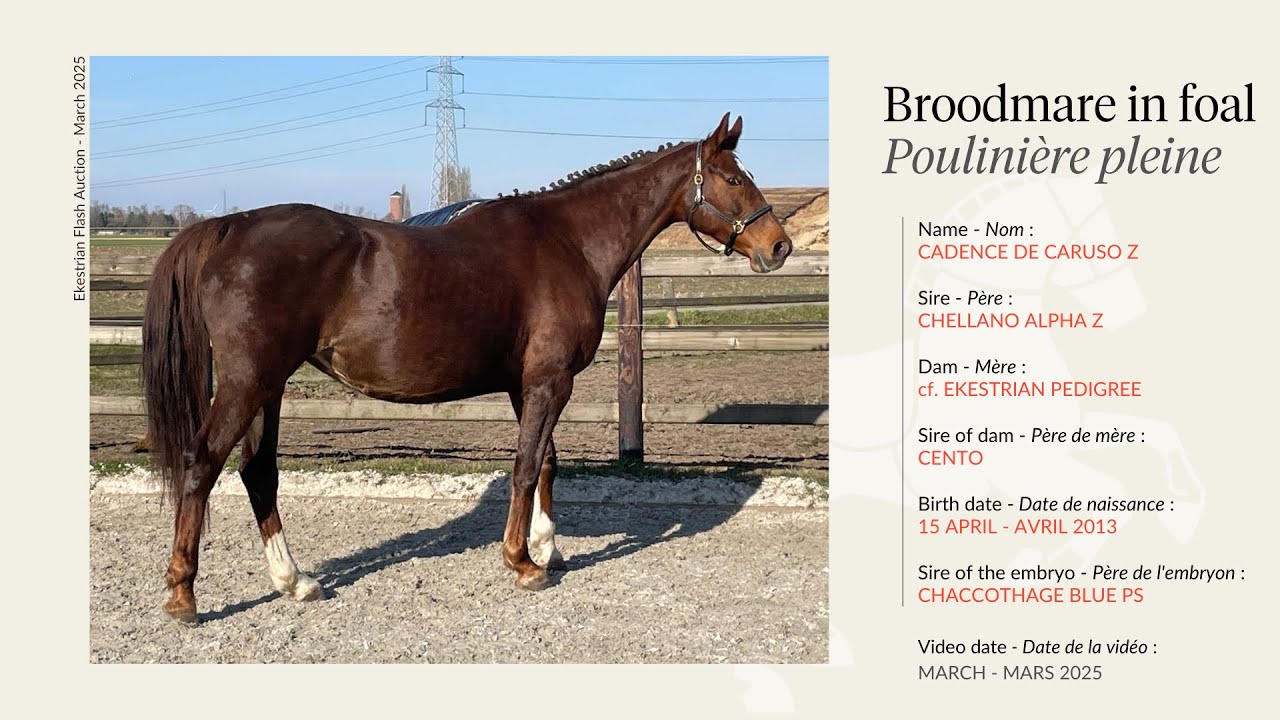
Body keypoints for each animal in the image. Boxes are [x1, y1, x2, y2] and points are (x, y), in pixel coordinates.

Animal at [142, 113, 793, 625]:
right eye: (734, 178)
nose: (779, 245)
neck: (568, 242)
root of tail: (230, 224)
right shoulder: (549, 381)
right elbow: (526, 466)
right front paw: (523, 563)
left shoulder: (528, 384)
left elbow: (547, 462)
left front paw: (548, 546)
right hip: (248, 383)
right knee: (203, 463)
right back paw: (183, 594)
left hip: (269, 387)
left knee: (258, 472)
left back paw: (294, 581)